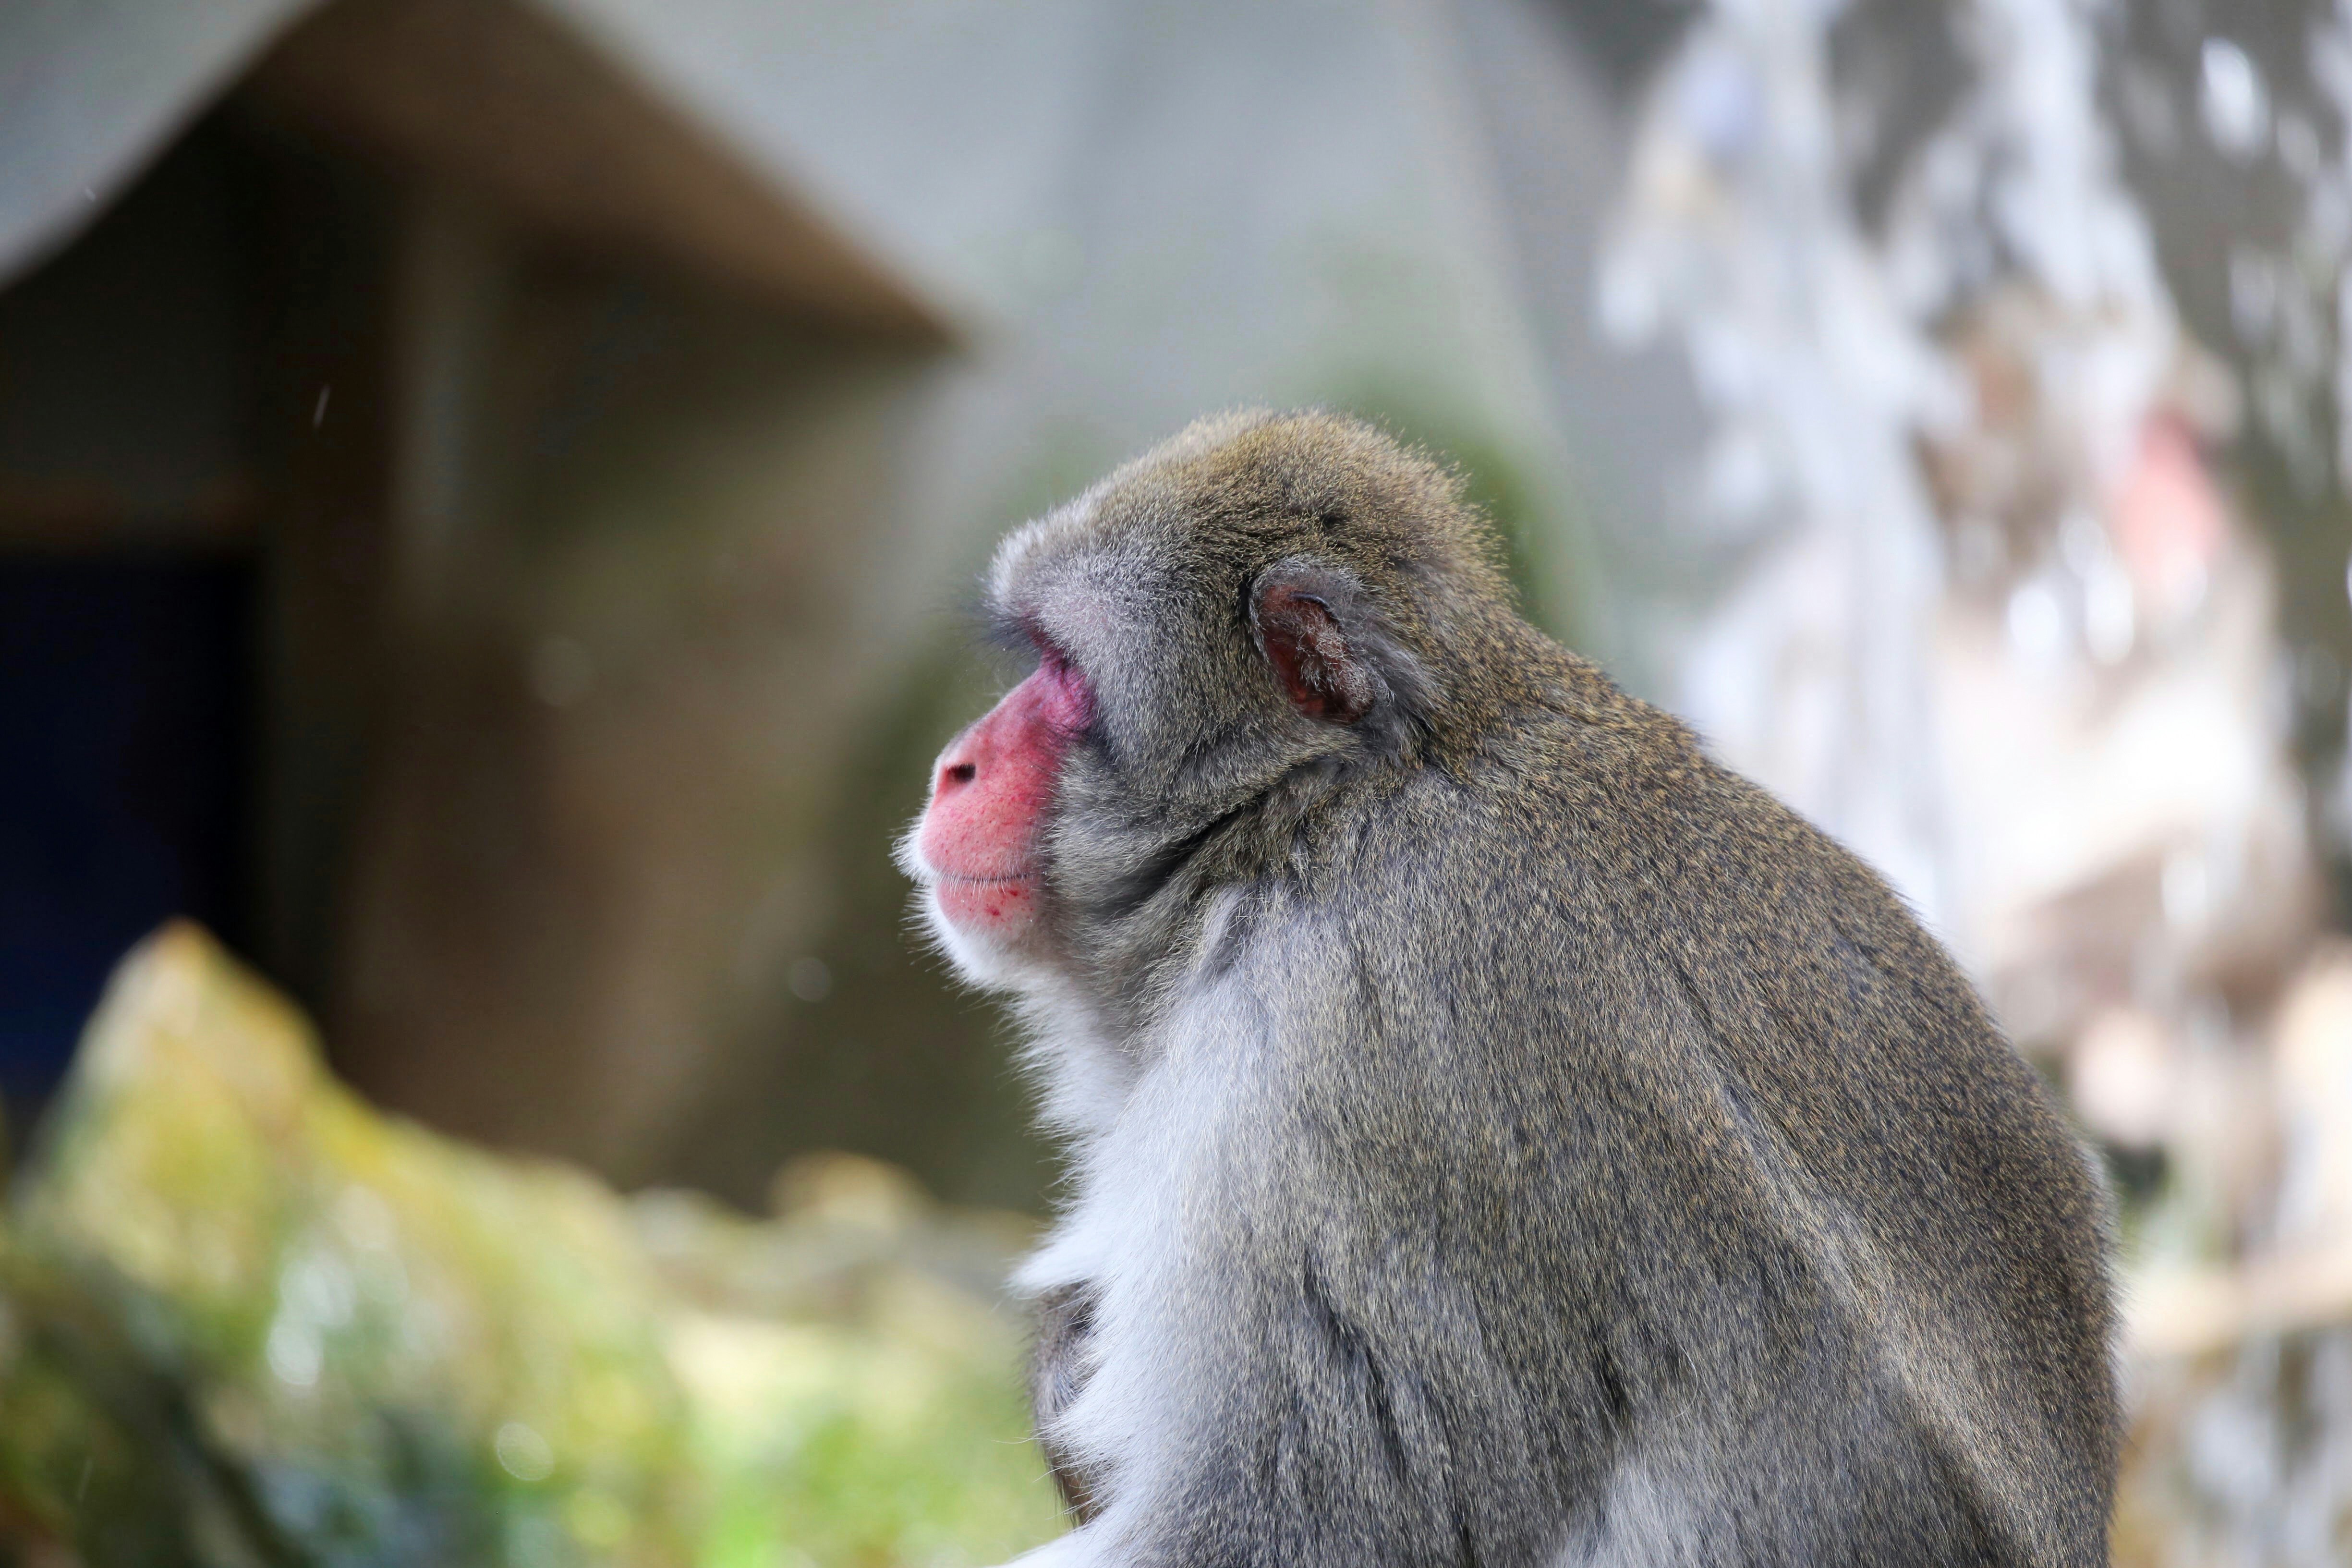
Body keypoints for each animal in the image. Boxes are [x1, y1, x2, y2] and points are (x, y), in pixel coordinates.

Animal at [898, 411, 2117, 1567]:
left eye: (1061, 670)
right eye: (1031, 658)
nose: (953, 764)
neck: (1313, 827)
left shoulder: (1352, 1069)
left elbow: (1294, 1528)